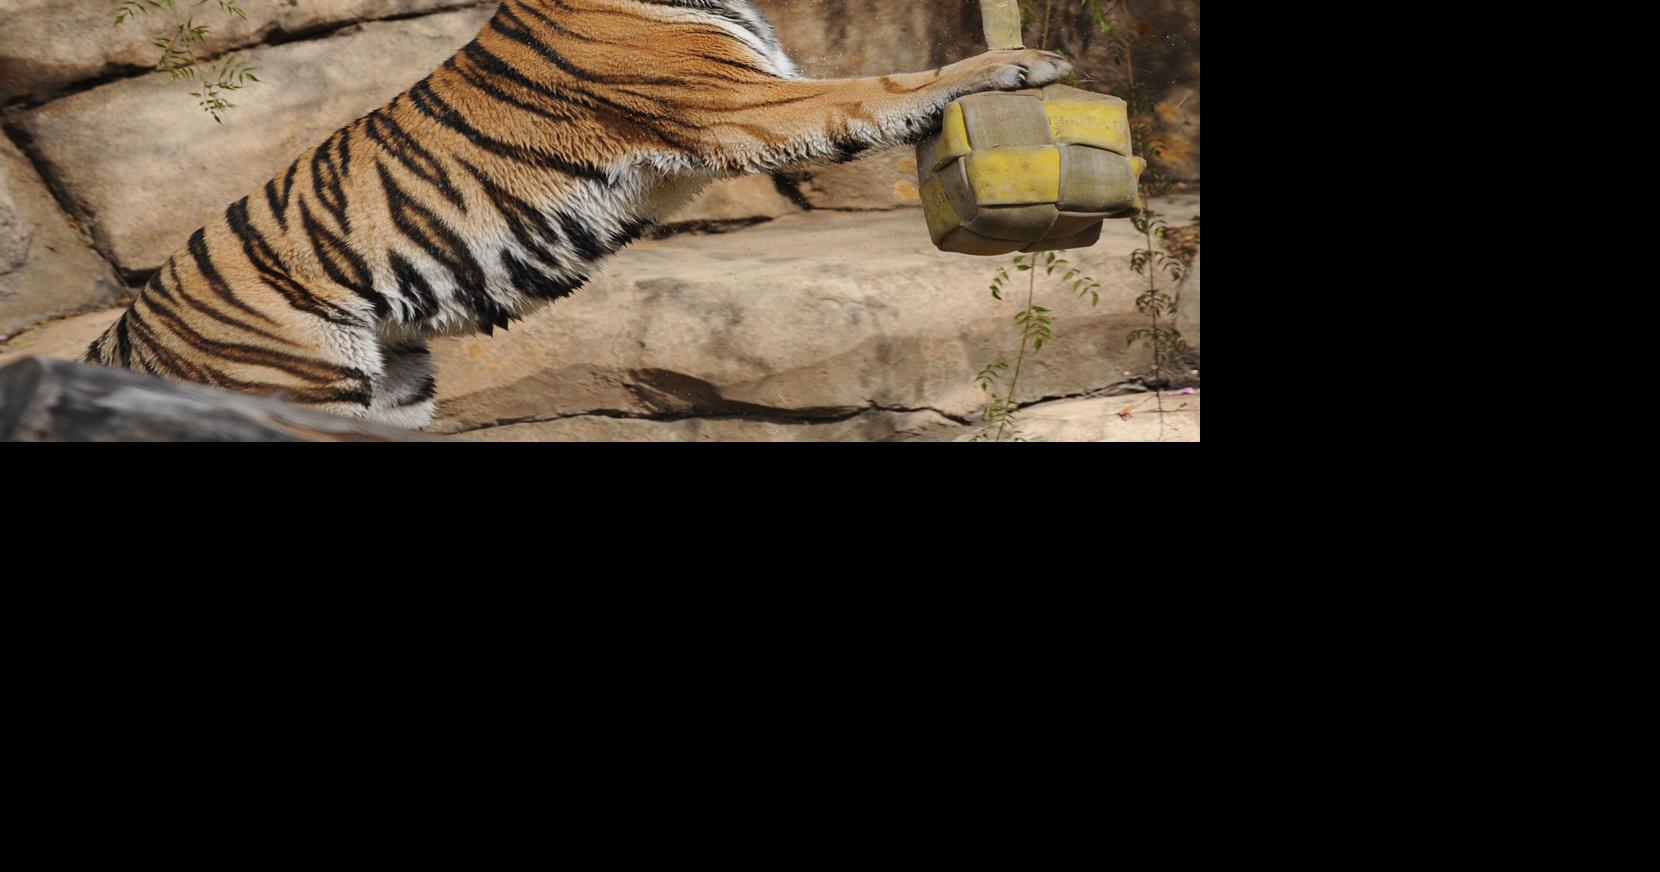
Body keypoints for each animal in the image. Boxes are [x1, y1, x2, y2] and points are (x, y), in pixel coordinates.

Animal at [82, 0, 1072, 429]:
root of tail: (128, 327)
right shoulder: (744, 102)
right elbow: (887, 86)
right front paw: (1021, 62)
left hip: (392, 393)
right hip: (292, 389)